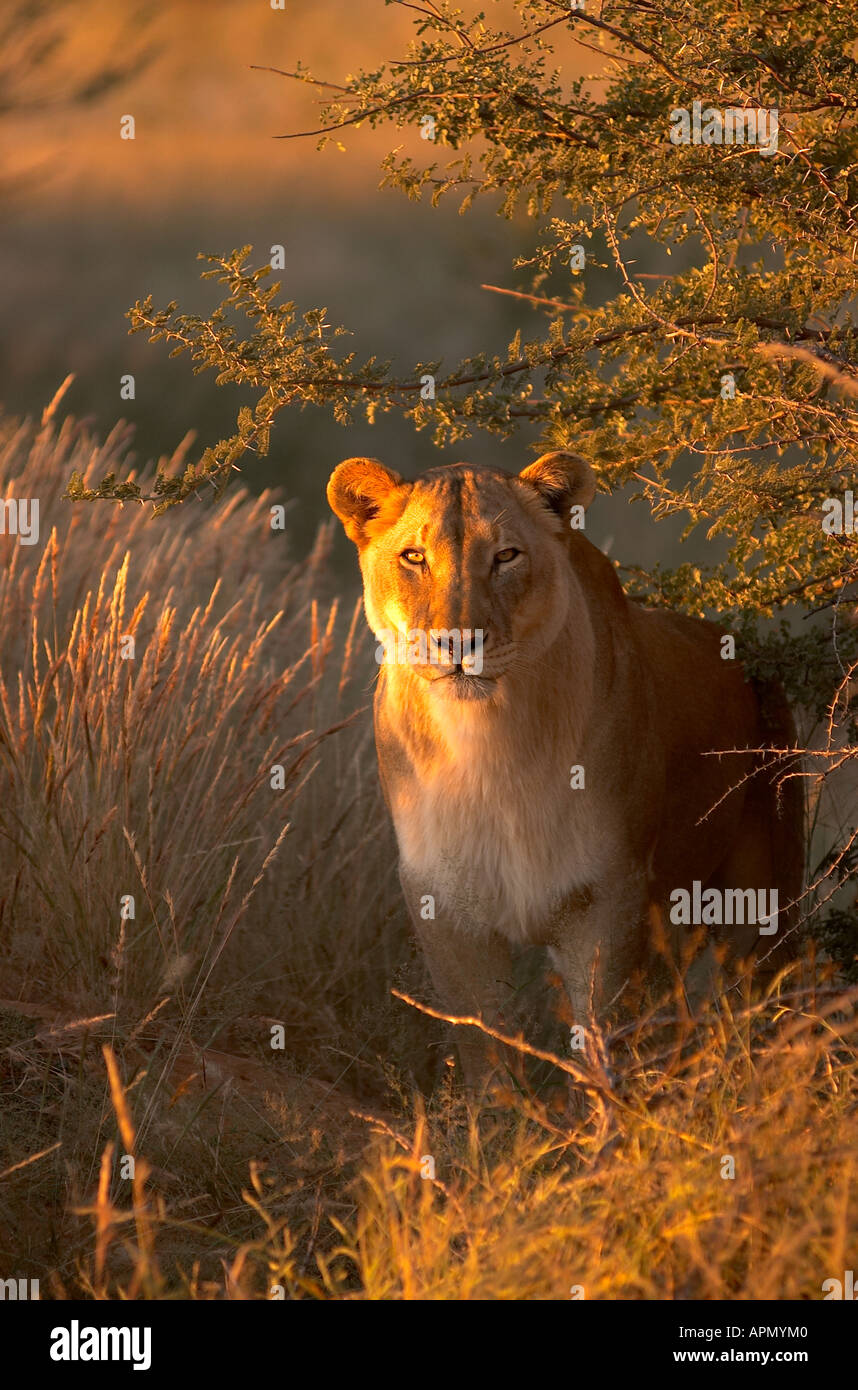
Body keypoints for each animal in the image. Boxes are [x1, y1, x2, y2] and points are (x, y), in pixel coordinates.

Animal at [327, 450, 804, 1086]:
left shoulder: (608, 894)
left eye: (506, 557)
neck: (489, 741)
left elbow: (602, 1042)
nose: (458, 642)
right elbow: (485, 1044)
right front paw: (500, 1112)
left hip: (762, 900)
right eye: (413, 557)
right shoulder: (444, 900)